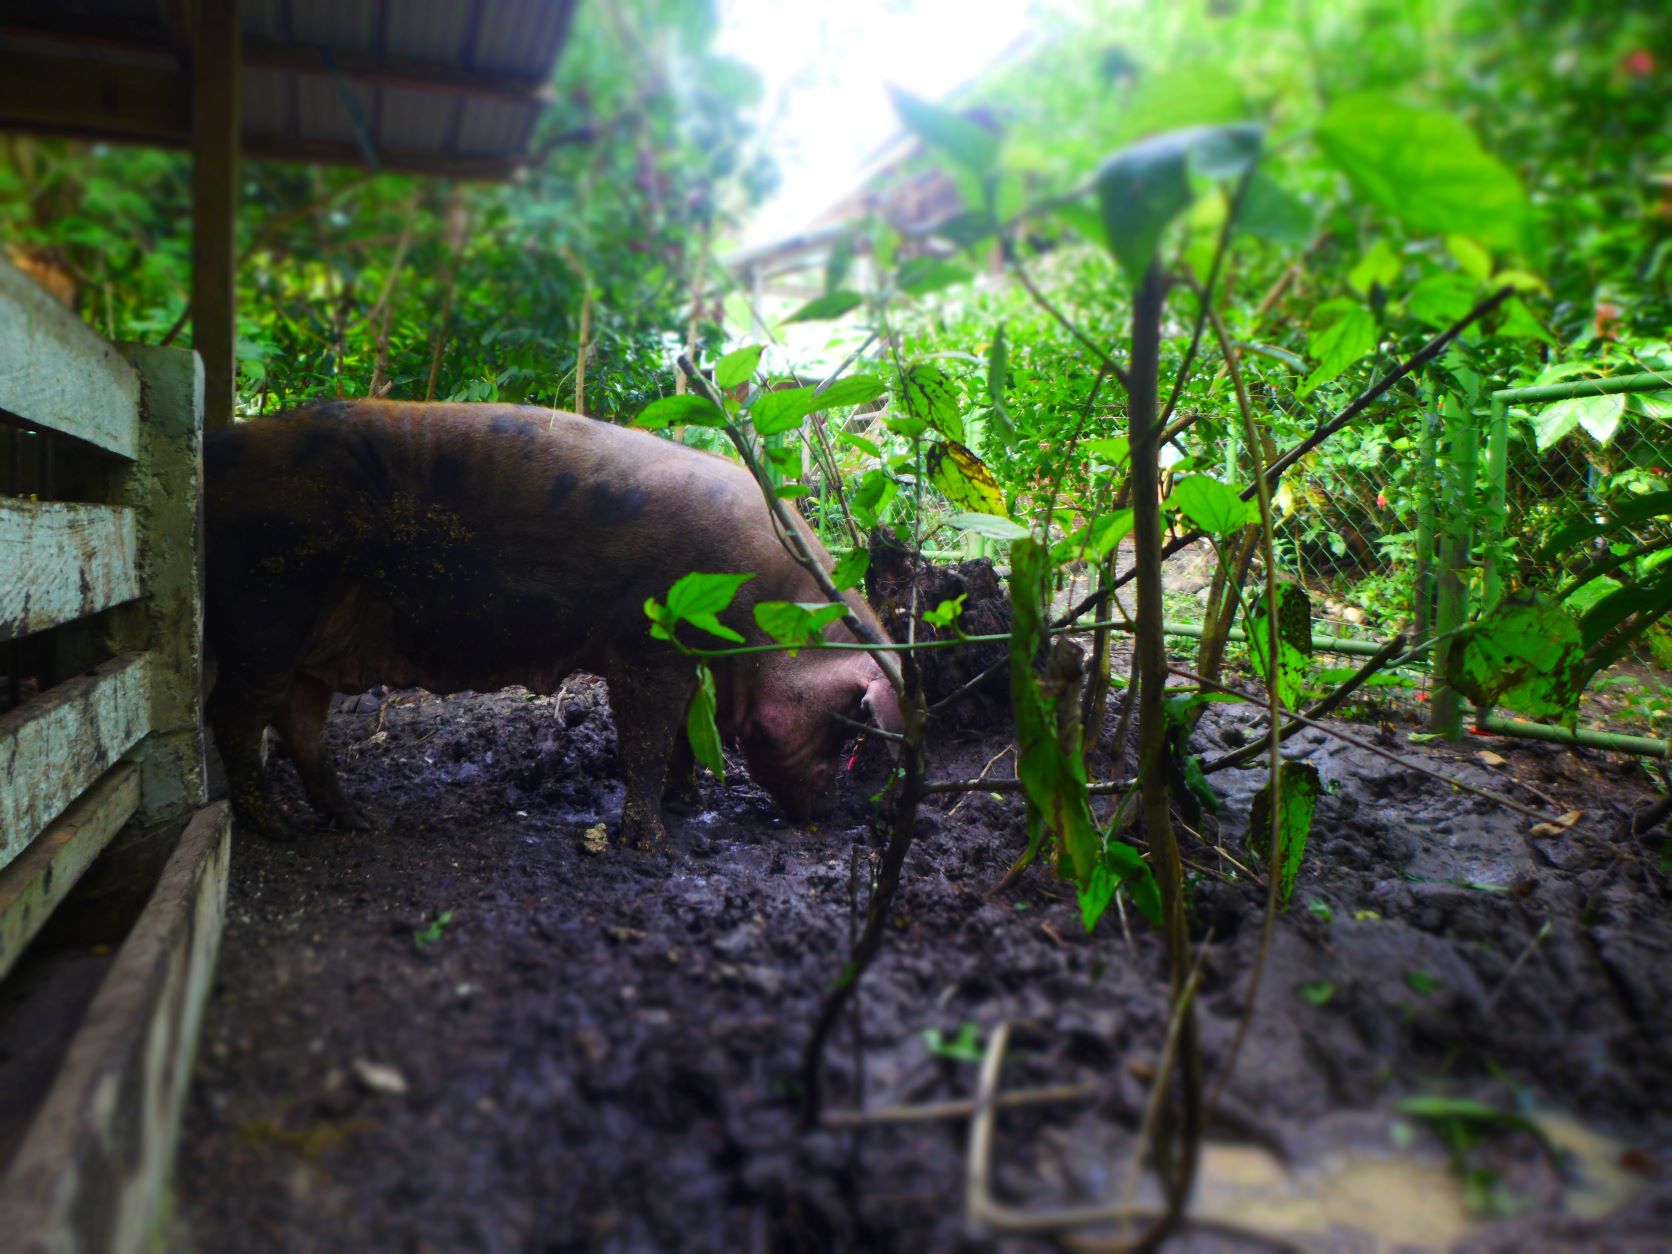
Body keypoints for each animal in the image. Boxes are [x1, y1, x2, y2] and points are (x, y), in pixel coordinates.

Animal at [203, 400, 903, 849]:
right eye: (849, 728)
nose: (829, 815)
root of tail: (219, 448)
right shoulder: (646, 648)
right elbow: (646, 742)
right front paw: (652, 844)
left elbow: (678, 739)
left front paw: (690, 807)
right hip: (267, 605)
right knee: (233, 714)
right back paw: (280, 831)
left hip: (306, 638)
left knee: (299, 726)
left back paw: (358, 823)